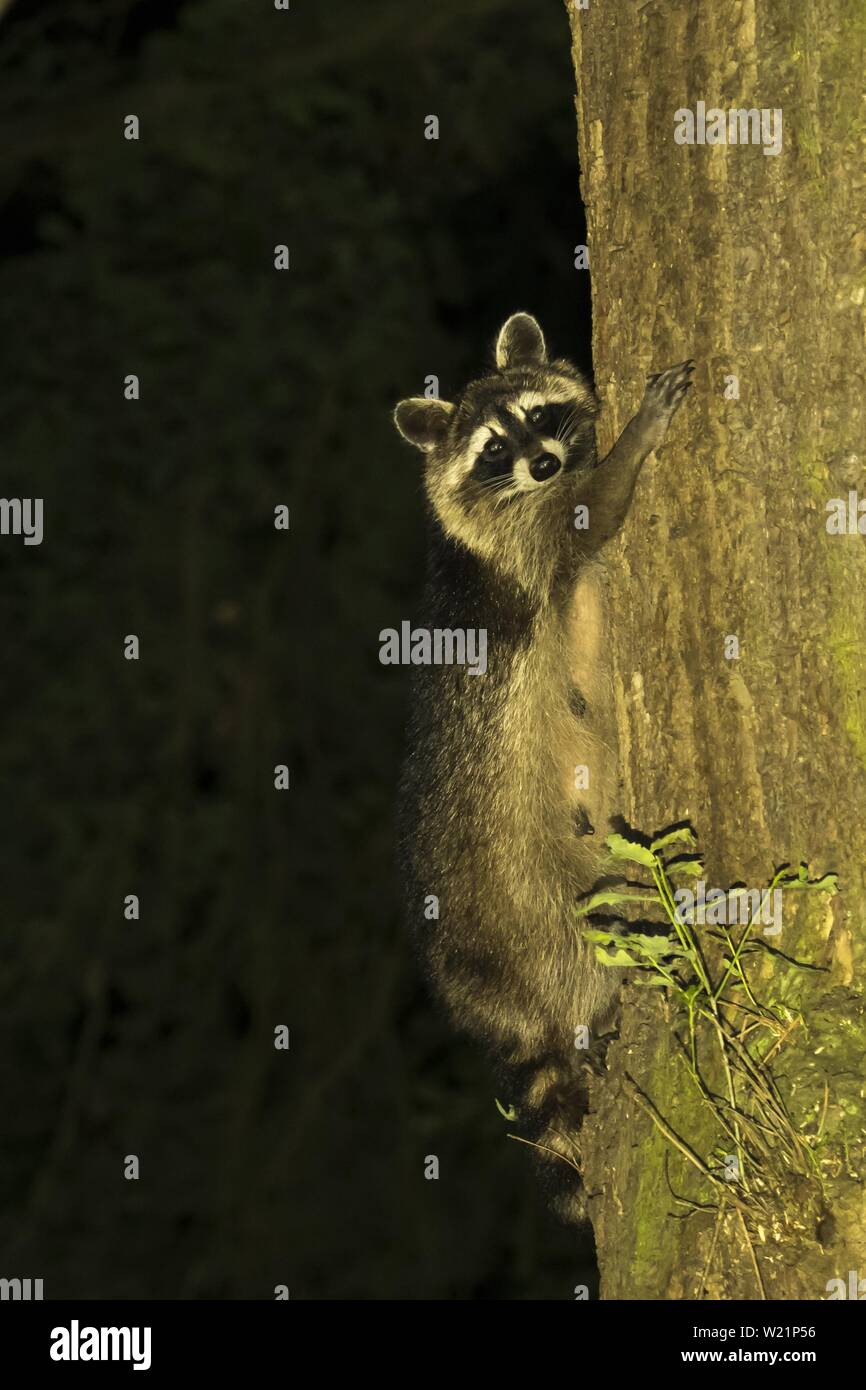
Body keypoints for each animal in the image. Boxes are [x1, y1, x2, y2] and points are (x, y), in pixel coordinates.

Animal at [394, 313, 693, 1221]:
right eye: (494, 448)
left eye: (539, 414)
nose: (547, 462)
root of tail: (492, 997)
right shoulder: (528, 540)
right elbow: (594, 515)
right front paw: (638, 437)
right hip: (540, 902)